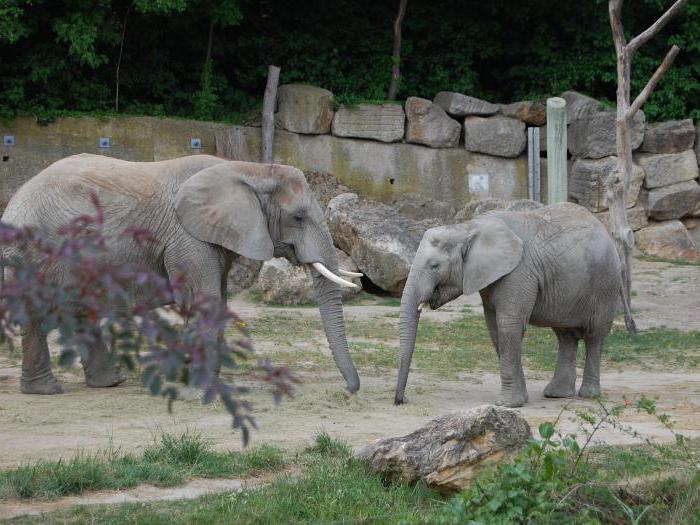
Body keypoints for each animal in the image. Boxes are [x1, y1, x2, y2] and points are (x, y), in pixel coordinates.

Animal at [5, 154, 364, 396]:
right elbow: (204, 299)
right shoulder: (187, 237)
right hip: (41, 251)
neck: (249, 169)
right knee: (41, 313)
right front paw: (201, 388)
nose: (348, 390)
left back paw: (102, 383)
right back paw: (51, 390)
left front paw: (207, 379)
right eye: (298, 217)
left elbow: (218, 300)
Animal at [394, 203, 636, 408]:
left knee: (595, 335)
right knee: (565, 336)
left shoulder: (518, 272)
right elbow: (495, 329)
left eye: (434, 265)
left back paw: (588, 395)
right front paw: (520, 400)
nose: (400, 401)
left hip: (604, 284)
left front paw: (506, 405)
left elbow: (508, 326)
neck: (467, 227)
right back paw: (556, 394)